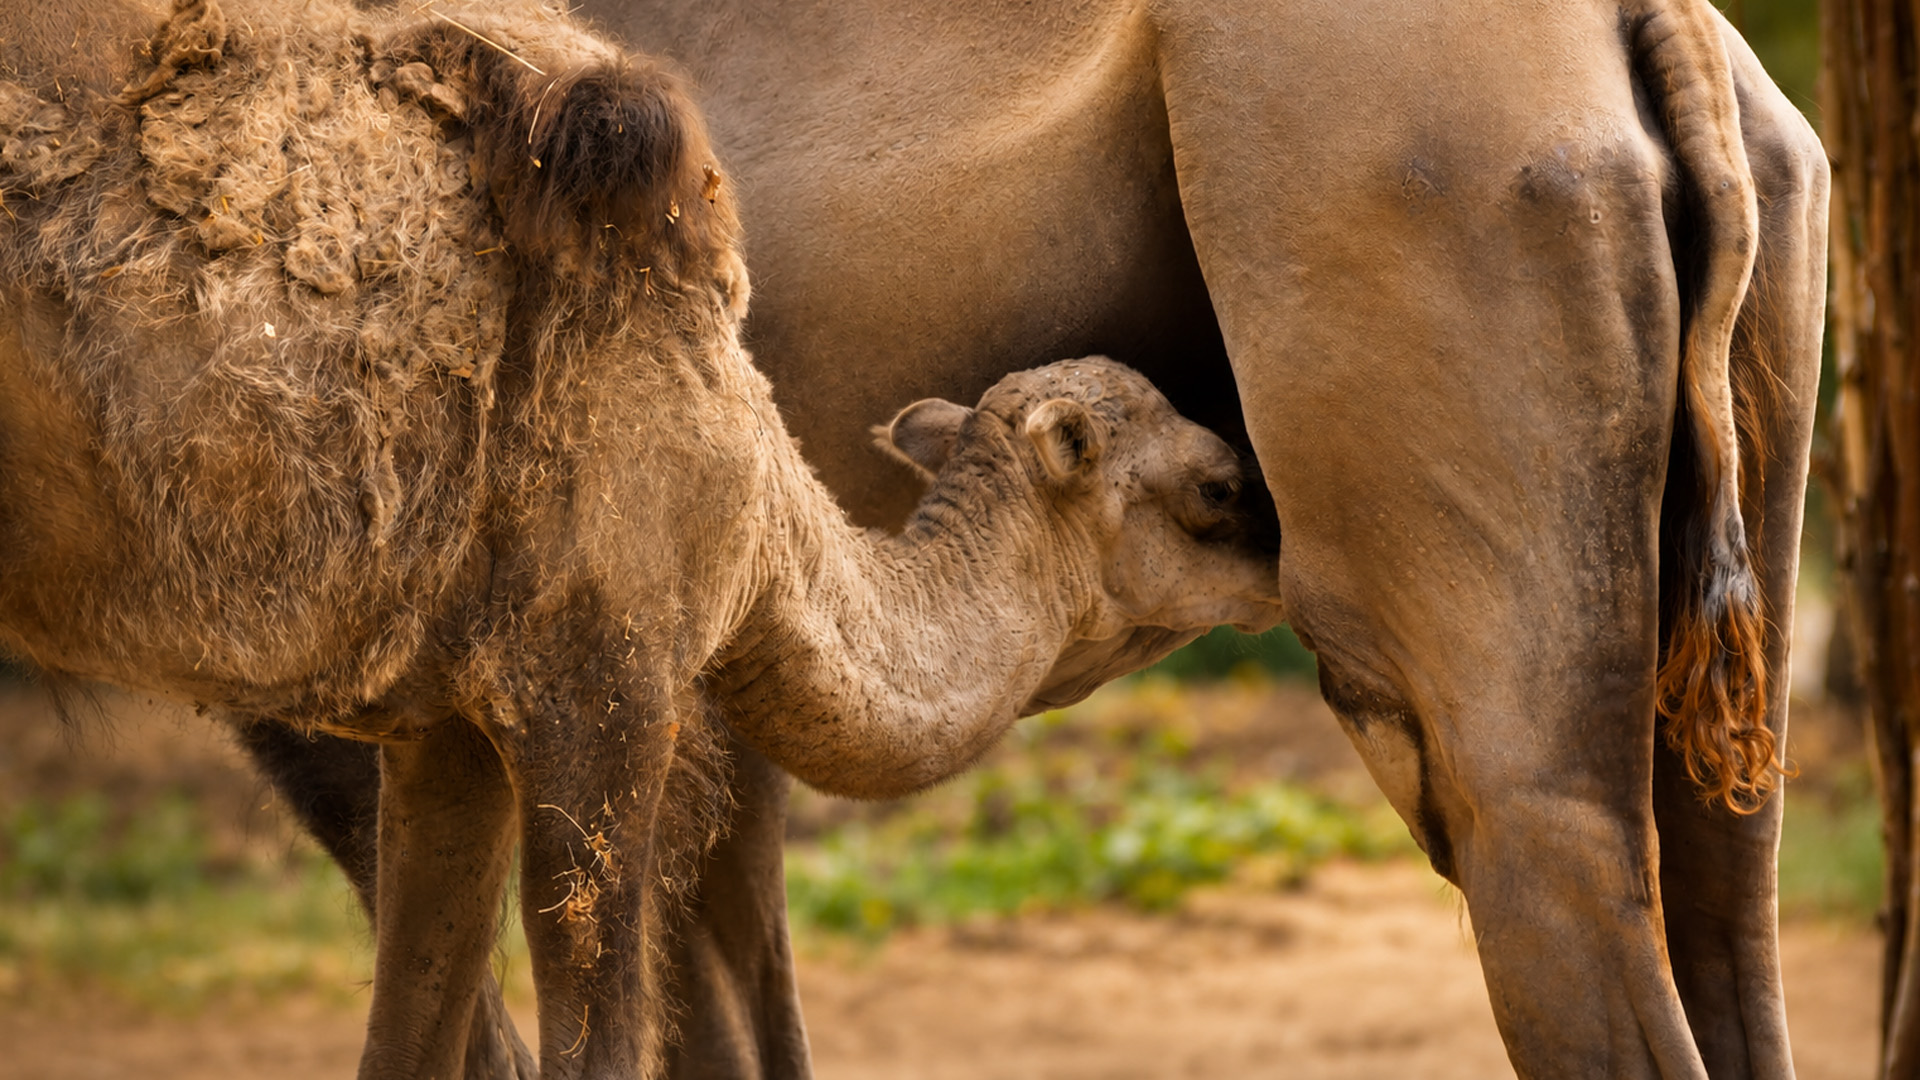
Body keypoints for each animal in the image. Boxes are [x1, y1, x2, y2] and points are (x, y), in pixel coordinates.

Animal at [0, 2, 1287, 1076]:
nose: (1288, 554)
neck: (761, 521)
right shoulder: (607, 685)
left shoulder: (441, 717)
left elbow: (413, 1037)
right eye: (1216, 489)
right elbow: (604, 1043)